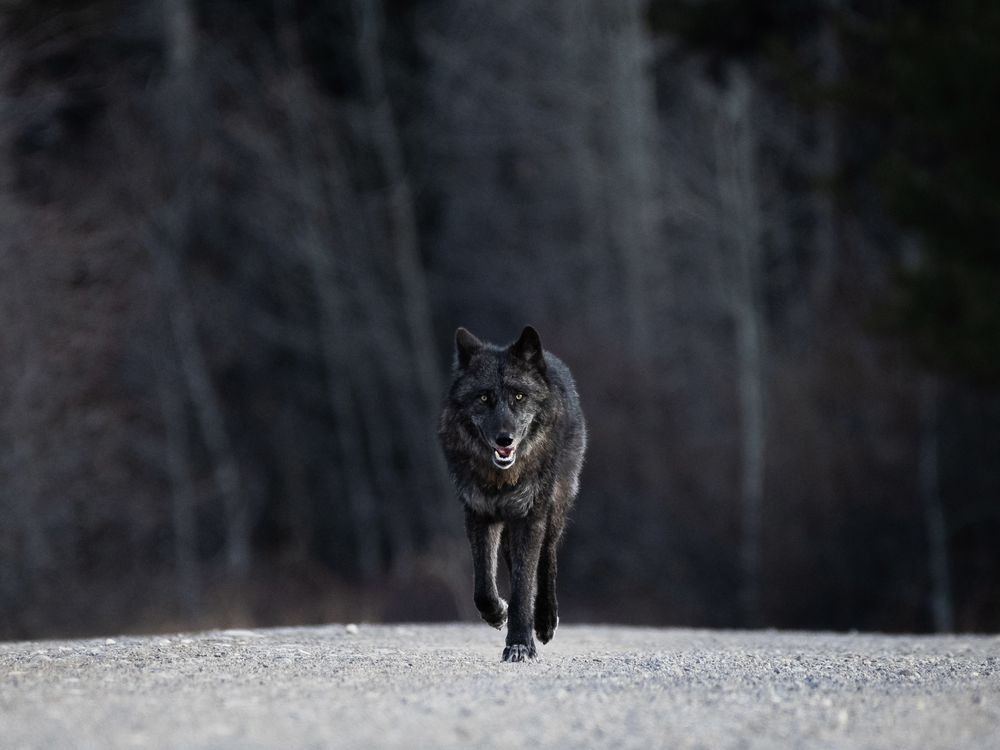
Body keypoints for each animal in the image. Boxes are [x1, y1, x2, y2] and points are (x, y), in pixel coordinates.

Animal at [439, 326, 586, 662]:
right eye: (484, 397)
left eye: (519, 396)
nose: (504, 439)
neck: (501, 479)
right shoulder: (478, 514)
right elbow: (483, 585)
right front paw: (497, 613)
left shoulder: (530, 517)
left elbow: (523, 586)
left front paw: (520, 642)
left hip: (553, 510)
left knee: (547, 558)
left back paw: (545, 620)